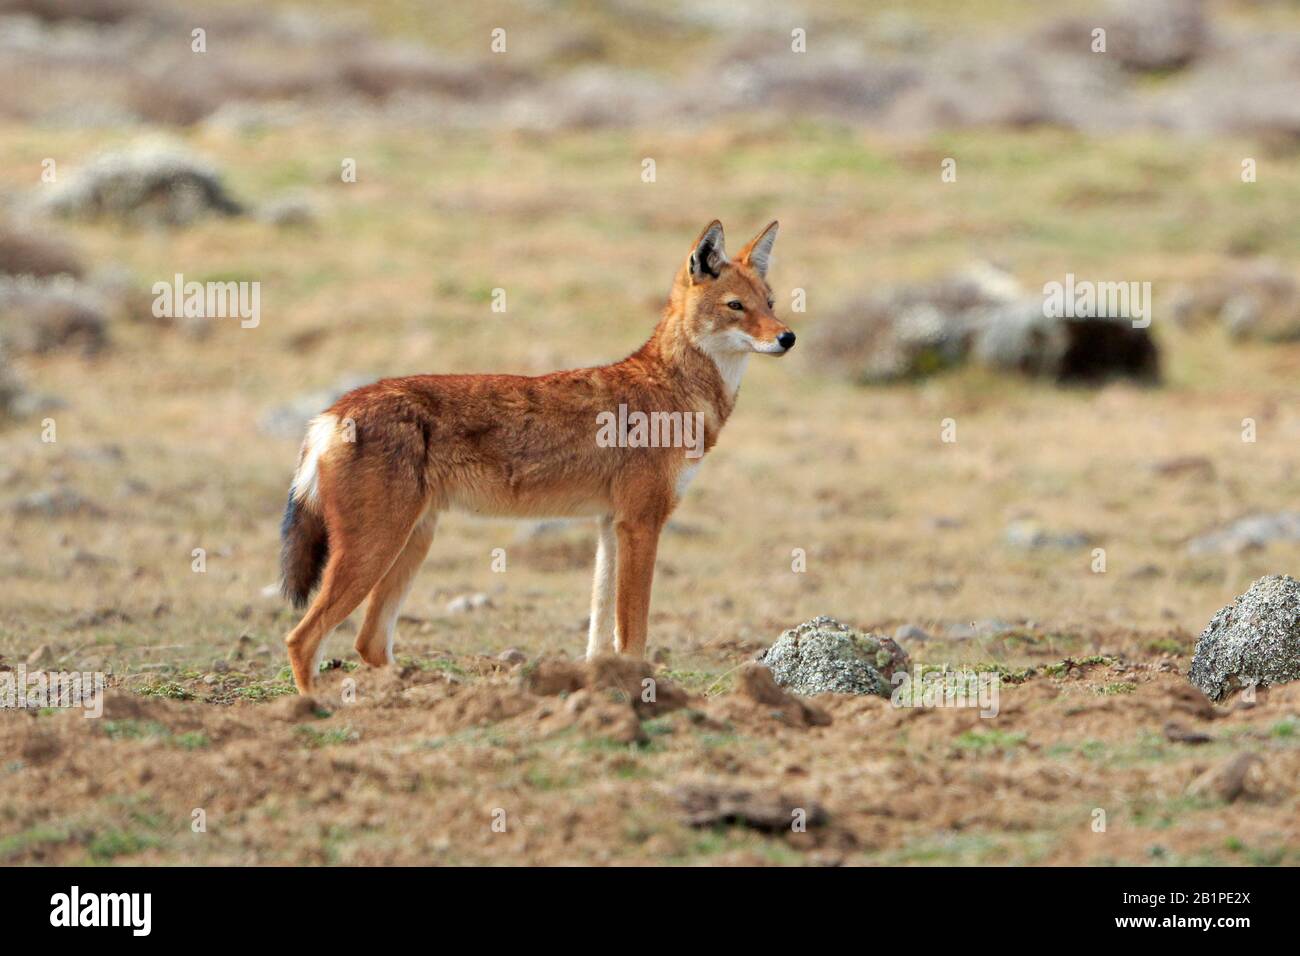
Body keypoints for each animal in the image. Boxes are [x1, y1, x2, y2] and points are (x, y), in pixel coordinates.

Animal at [279, 220, 795, 694]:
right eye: (736, 306)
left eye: (769, 302)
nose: (787, 337)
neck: (675, 391)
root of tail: (330, 412)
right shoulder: (640, 523)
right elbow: (633, 631)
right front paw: (638, 690)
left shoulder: (611, 524)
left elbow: (600, 632)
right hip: (376, 549)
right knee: (302, 639)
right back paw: (314, 711)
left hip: (412, 542)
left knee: (368, 641)